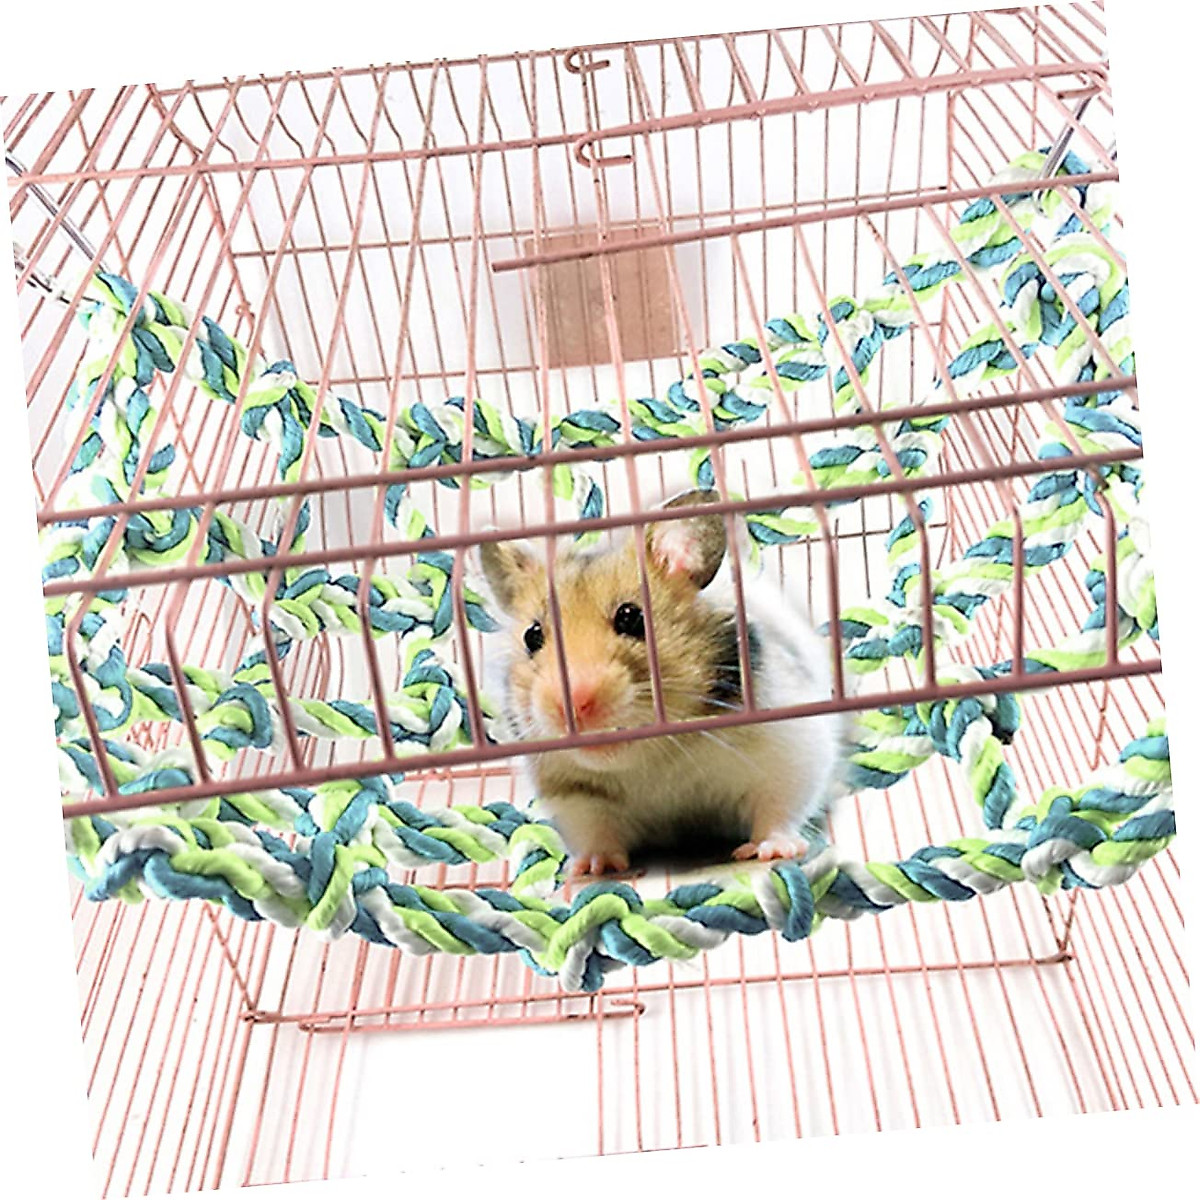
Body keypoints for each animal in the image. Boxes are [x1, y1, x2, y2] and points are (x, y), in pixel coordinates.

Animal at [479, 488, 848, 878]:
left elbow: (778, 807)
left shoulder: (791, 750)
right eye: (532, 636)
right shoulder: (574, 793)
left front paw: (769, 850)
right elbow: (596, 830)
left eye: (631, 617)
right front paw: (592, 868)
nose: (571, 707)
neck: (656, 756)